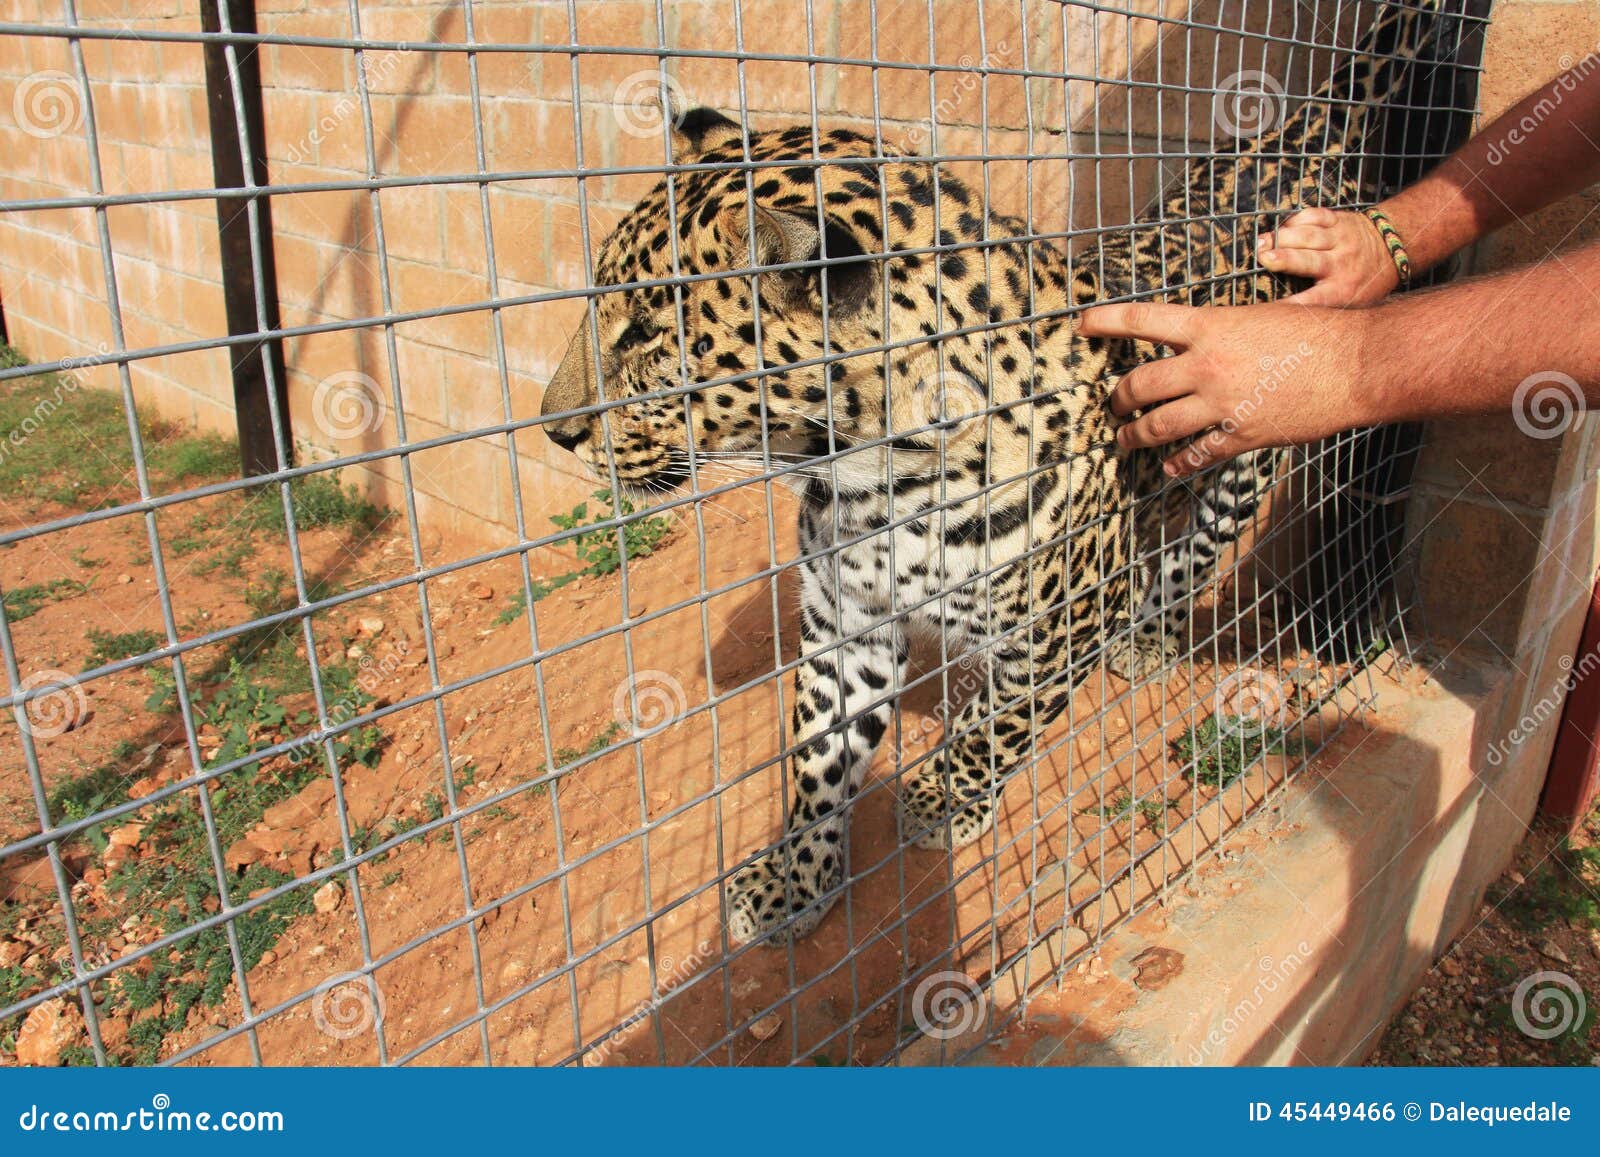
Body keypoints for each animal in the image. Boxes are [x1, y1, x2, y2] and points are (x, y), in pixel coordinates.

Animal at [538, 0, 1446, 945]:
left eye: (646, 332)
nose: (553, 430)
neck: (868, 471)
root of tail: (1272, 153)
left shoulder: (1057, 623)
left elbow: (1003, 721)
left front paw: (945, 796)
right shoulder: (848, 620)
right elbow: (819, 754)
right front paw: (793, 876)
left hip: (1252, 455)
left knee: (1189, 552)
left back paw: (1147, 631)